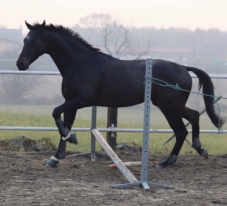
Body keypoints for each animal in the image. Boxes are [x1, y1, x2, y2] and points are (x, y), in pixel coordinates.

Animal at [16, 20, 225, 169]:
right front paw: (55, 158)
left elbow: (55, 114)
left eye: (34, 40)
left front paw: (71, 139)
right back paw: (200, 148)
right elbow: (64, 125)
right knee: (194, 116)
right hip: (172, 106)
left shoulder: (81, 100)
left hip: (169, 107)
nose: (20, 64)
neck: (81, 64)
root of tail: (183, 67)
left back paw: (167, 162)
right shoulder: (70, 102)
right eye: (25, 39)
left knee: (181, 131)